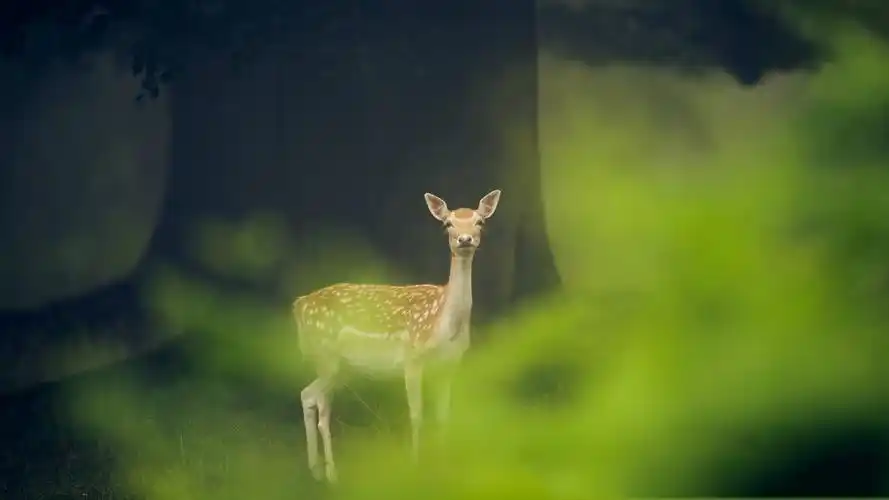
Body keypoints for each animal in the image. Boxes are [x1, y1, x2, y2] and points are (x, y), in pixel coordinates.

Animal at [292, 189, 501, 483]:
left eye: (479, 221)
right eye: (447, 223)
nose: (464, 239)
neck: (444, 325)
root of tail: (298, 305)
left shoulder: (449, 365)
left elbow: (444, 417)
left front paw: (443, 469)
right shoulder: (411, 357)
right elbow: (416, 415)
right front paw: (415, 466)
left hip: (340, 367)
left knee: (309, 396)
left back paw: (317, 471)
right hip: (326, 356)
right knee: (317, 403)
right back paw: (331, 475)